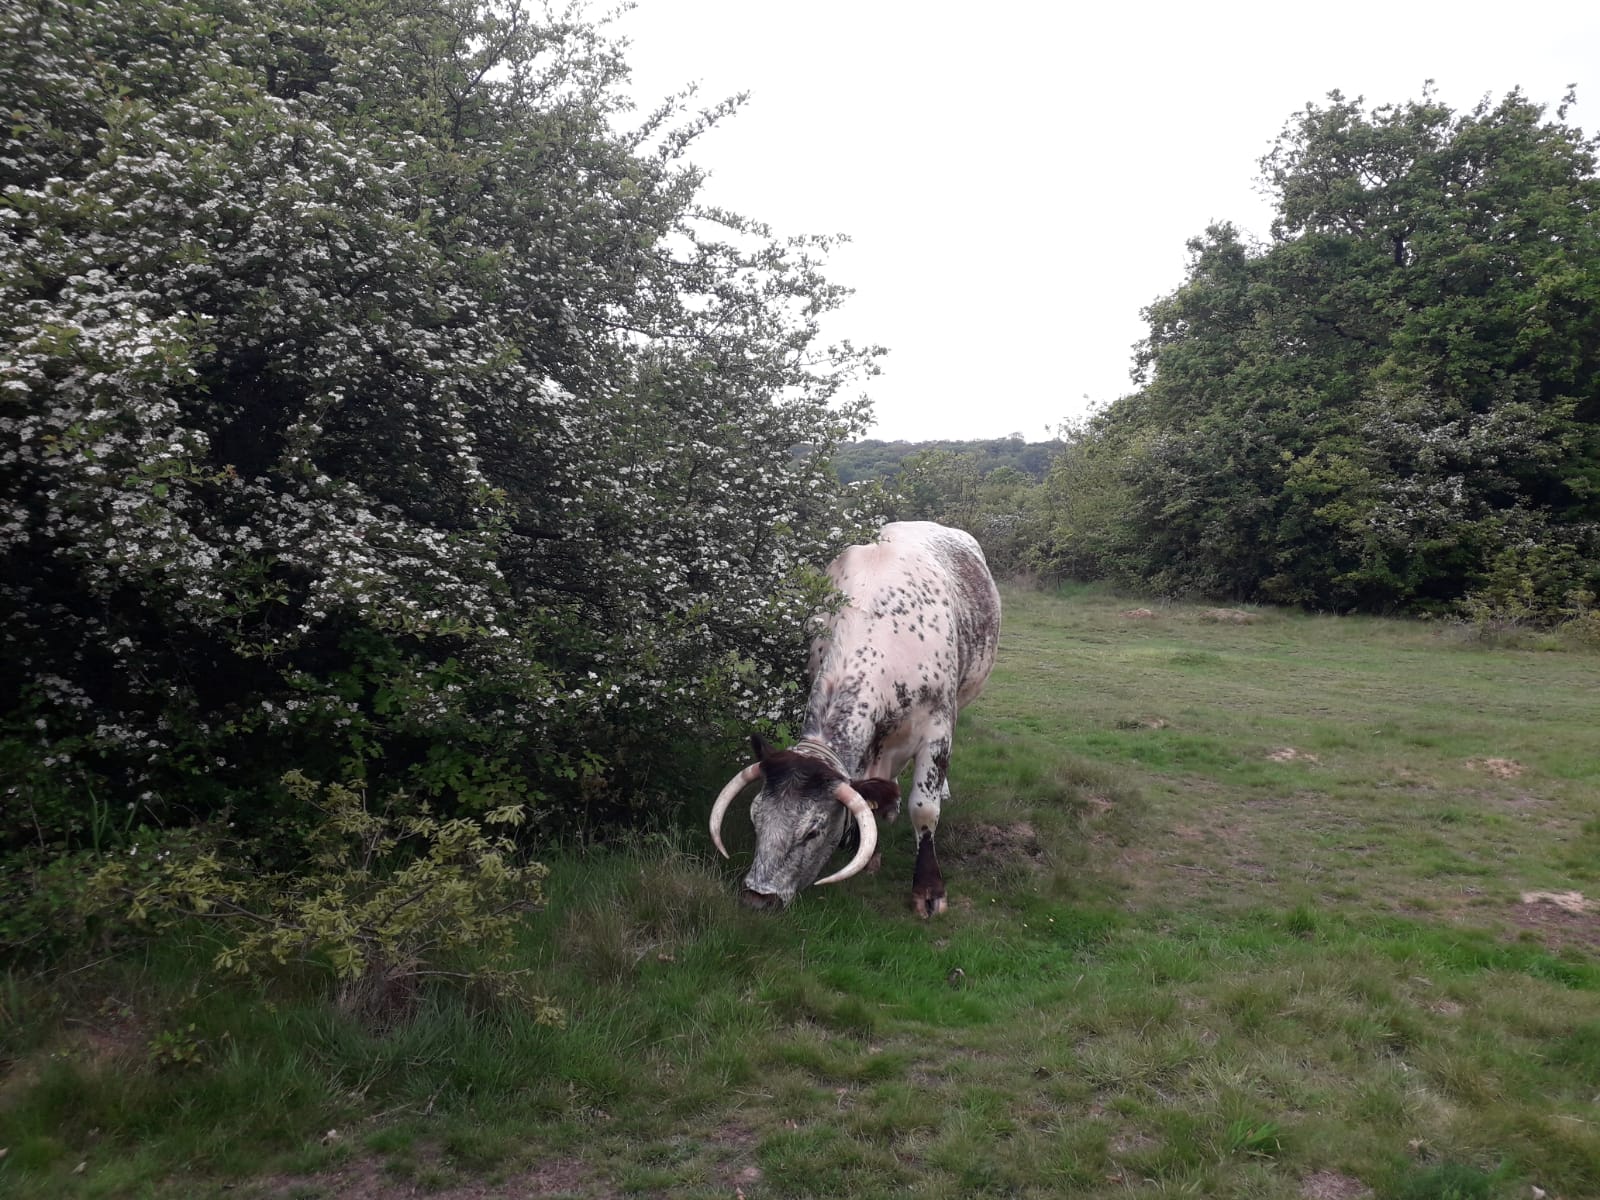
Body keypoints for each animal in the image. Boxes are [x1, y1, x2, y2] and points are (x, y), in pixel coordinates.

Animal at [709, 521, 1001, 917]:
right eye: (756, 817)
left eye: (813, 832)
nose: (758, 896)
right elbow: (866, 790)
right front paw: (871, 848)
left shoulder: (937, 727)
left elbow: (924, 809)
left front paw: (928, 889)